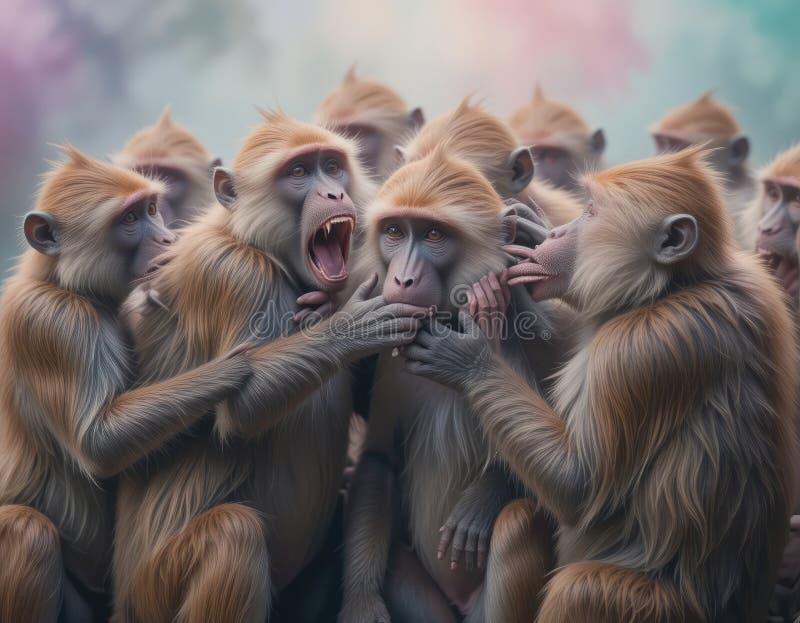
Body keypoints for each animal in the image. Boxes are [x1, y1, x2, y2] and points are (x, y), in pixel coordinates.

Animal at [0, 147, 253, 621]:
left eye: (151, 209)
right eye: (130, 219)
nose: (168, 239)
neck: (64, 284)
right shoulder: (53, 323)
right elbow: (99, 444)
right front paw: (232, 368)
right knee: (27, 532)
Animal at [111, 111, 427, 623]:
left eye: (331, 167)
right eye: (298, 172)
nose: (334, 194)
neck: (262, 248)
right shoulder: (234, 274)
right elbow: (243, 404)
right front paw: (351, 328)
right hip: (153, 588)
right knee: (234, 535)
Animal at [339, 147, 559, 623]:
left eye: (434, 234)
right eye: (395, 231)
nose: (402, 279)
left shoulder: (527, 333)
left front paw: (482, 500)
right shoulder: (393, 359)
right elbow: (381, 458)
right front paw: (361, 602)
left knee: (517, 521)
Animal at [403, 145, 798, 622]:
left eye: (591, 213)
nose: (558, 234)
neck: (670, 289)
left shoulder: (639, 351)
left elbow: (578, 486)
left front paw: (470, 357)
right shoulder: (758, 289)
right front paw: (526, 231)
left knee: (582, 589)